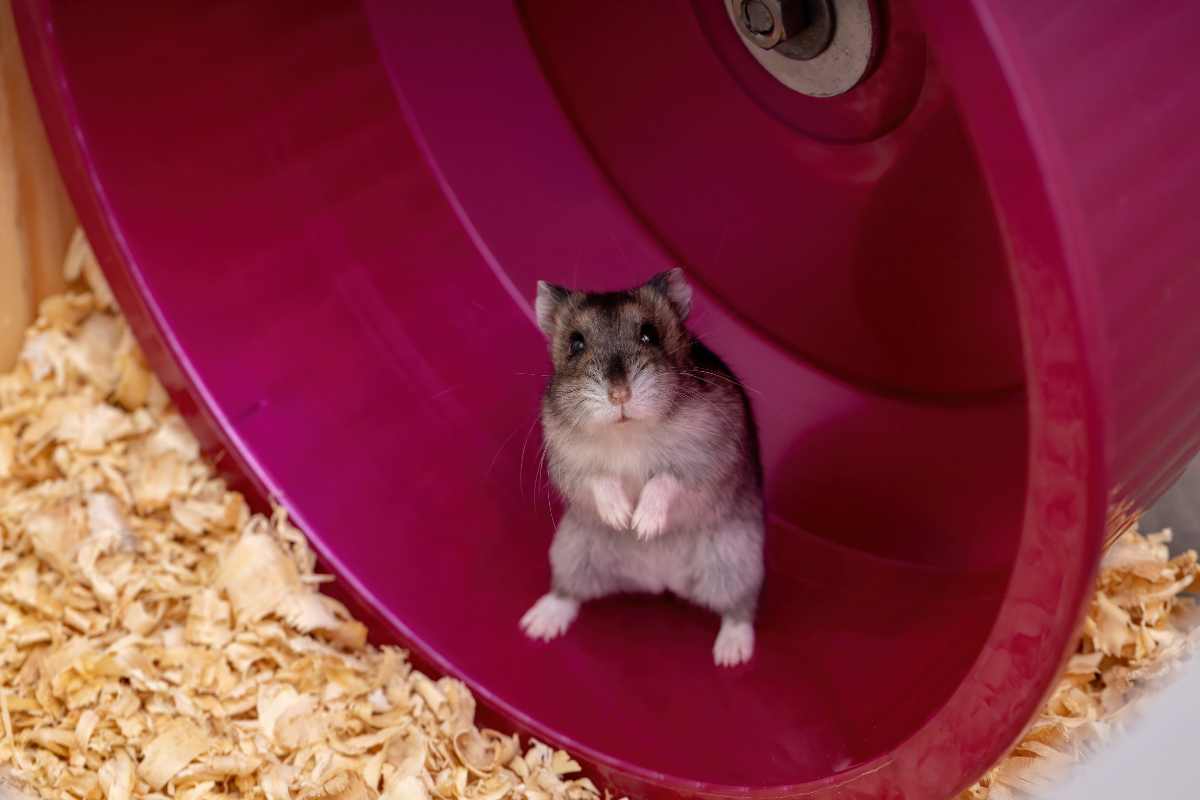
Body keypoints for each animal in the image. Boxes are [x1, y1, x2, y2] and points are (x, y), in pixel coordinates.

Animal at [519, 268, 765, 667]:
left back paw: (730, 656)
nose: (619, 395)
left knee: (739, 609)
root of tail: (660, 581)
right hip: (571, 552)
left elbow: (664, 479)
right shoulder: (568, 464)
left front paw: (643, 526)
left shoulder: (706, 458)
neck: (627, 431)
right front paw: (622, 518)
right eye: (575, 344)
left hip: (738, 563)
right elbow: (600, 479)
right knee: (567, 593)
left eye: (649, 334)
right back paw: (536, 626)